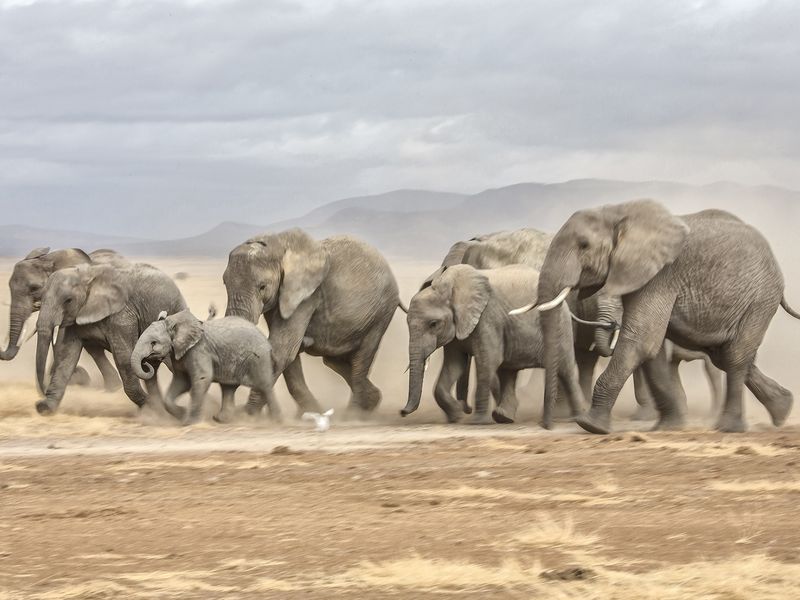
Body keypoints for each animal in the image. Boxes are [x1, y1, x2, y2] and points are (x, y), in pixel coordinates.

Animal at [34, 262, 187, 416]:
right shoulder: (76, 318)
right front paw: (45, 408)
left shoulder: (122, 316)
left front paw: (148, 407)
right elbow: (67, 356)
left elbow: (124, 359)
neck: (86, 275)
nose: (41, 396)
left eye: (68, 300)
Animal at [131, 310, 278, 425]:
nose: (146, 362)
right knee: (228, 387)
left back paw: (277, 422)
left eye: (153, 343)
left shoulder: (199, 350)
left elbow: (202, 378)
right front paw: (183, 414)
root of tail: (267, 341)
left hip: (259, 358)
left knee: (265, 386)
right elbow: (182, 382)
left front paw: (189, 422)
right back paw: (220, 419)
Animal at [223, 228, 401, 418]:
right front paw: (310, 413)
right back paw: (371, 402)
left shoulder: (307, 296)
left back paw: (353, 416)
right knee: (333, 360)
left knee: (362, 358)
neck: (277, 243)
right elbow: (287, 353)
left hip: (381, 312)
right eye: (224, 283)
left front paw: (247, 416)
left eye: (262, 286)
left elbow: (282, 350)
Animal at [401, 264, 583, 427]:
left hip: (562, 326)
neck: (448, 286)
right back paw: (504, 417)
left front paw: (476, 422)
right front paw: (456, 416)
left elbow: (487, 362)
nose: (402, 412)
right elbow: (455, 364)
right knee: (508, 372)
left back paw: (577, 418)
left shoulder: (487, 317)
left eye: (433, 324)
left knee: (565, 370)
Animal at [517, 200, 797, 433]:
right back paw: (783, 410)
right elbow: (654, 351)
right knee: (724, 355)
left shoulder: (662, 276)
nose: (546, 426)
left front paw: (590, 426)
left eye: (584, 245)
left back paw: (730, 428)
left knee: (736, 356)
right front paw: (668, 427)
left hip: (761, 298)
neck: (617, 211)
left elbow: (641, 340)